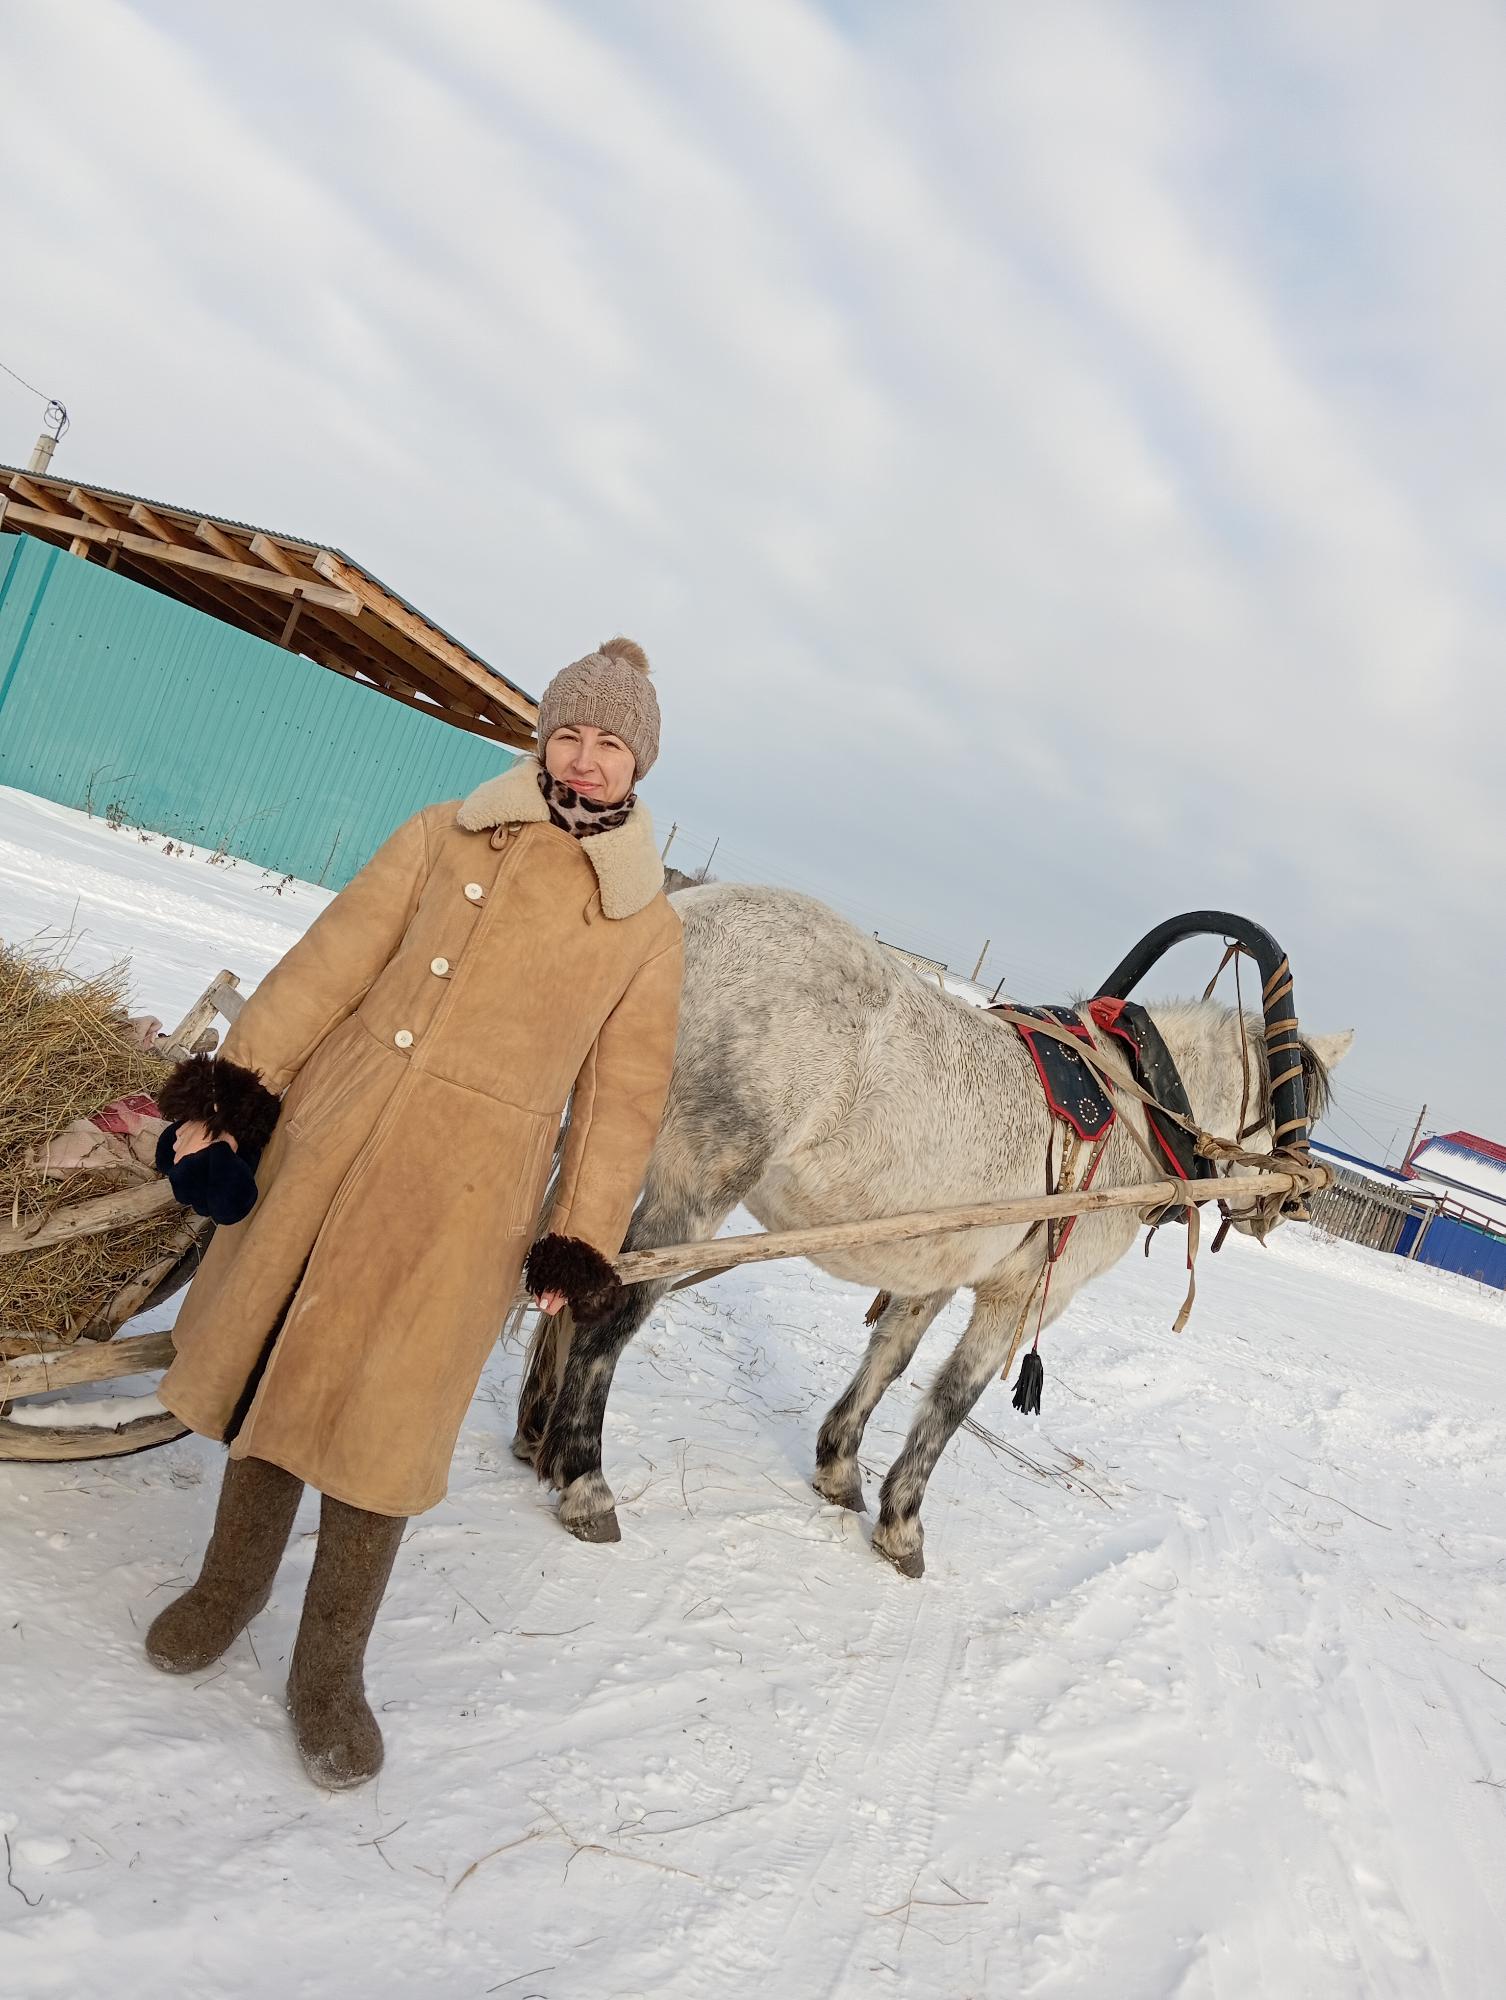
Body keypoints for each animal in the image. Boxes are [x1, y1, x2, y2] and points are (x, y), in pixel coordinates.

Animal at [520, 892, 1352, 1576]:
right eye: (1298, 1100)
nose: (1295, 1198)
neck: (1136, 1109)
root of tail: (680, 924)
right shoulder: (1026, 1293)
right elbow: (955, 1398)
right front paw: (902, 1525)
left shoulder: (943, 1262)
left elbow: (891, 1358)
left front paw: (839, 1466)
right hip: (699, 1177)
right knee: (617, 1305)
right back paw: (585, 1479)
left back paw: (536, 1438)